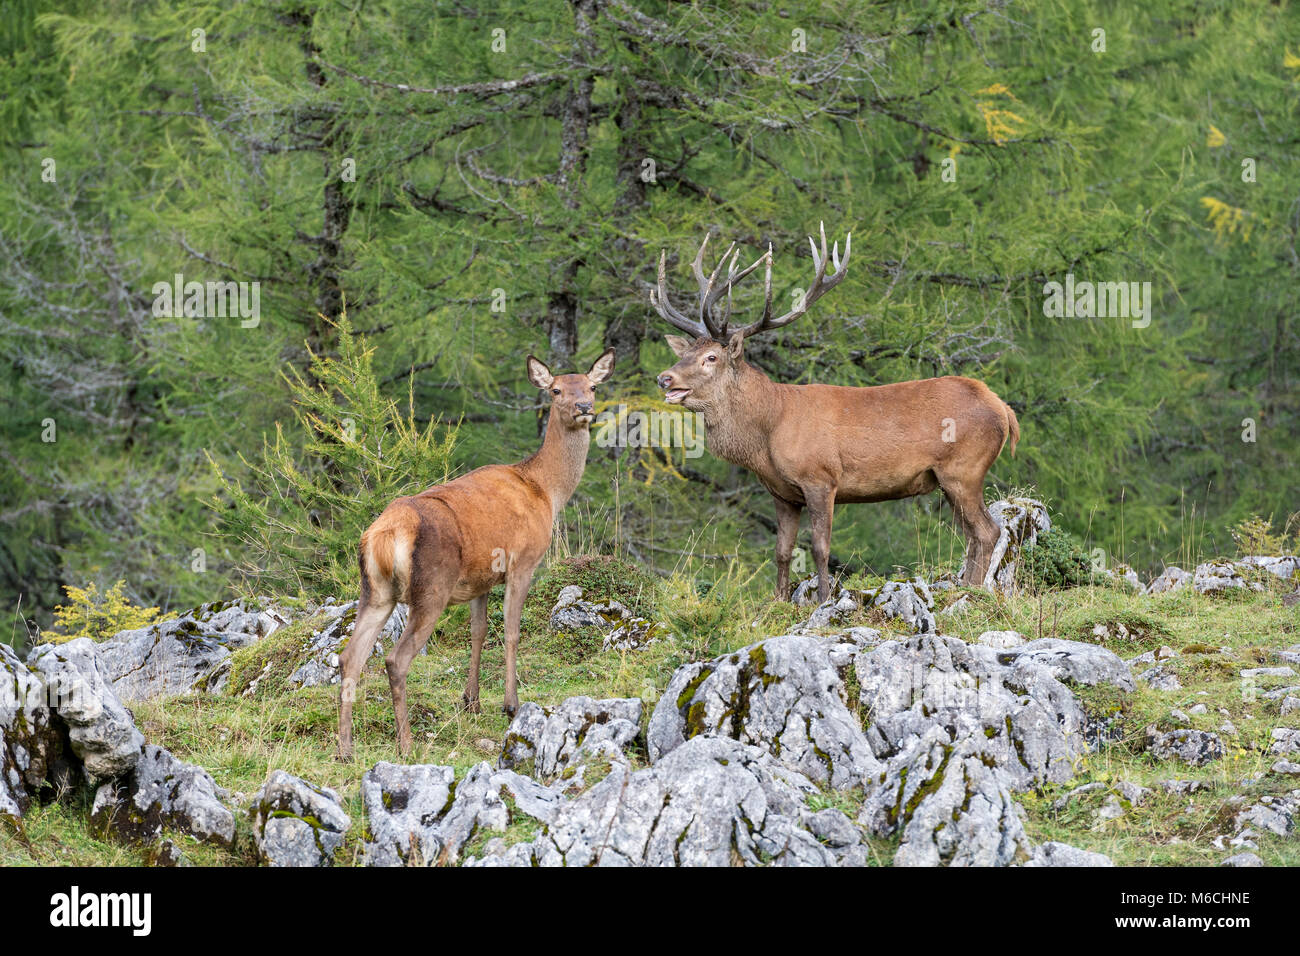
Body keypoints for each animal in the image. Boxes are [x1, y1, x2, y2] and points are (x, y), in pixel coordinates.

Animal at [336, 348, 616, 759]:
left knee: (349, 658)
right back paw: (406, 744)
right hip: (430, 589)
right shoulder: (523, 562)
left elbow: (478, 631)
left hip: (374, 591)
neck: (545, 490)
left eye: (592, 386)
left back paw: (345, 748)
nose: (584, 407)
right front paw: (511, 704)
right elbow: (512, 631)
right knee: (395, 659)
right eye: (556, 390)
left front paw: (472, 700)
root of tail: (385, 535)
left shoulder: (480, 580)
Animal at [651, 224, 1019, 605]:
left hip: (964, 468)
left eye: (711, 358)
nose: (665, 377)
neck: (769, 431)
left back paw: (976, 592)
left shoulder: (820, 477)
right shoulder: (782, 493)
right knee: (973, 534)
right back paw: (966, 588)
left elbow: (819, 547)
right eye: (685, 352)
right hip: (948, 479)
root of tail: (1003, 409)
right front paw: (779, 600)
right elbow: (782, 551)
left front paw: (824, 599)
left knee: (988, 531)